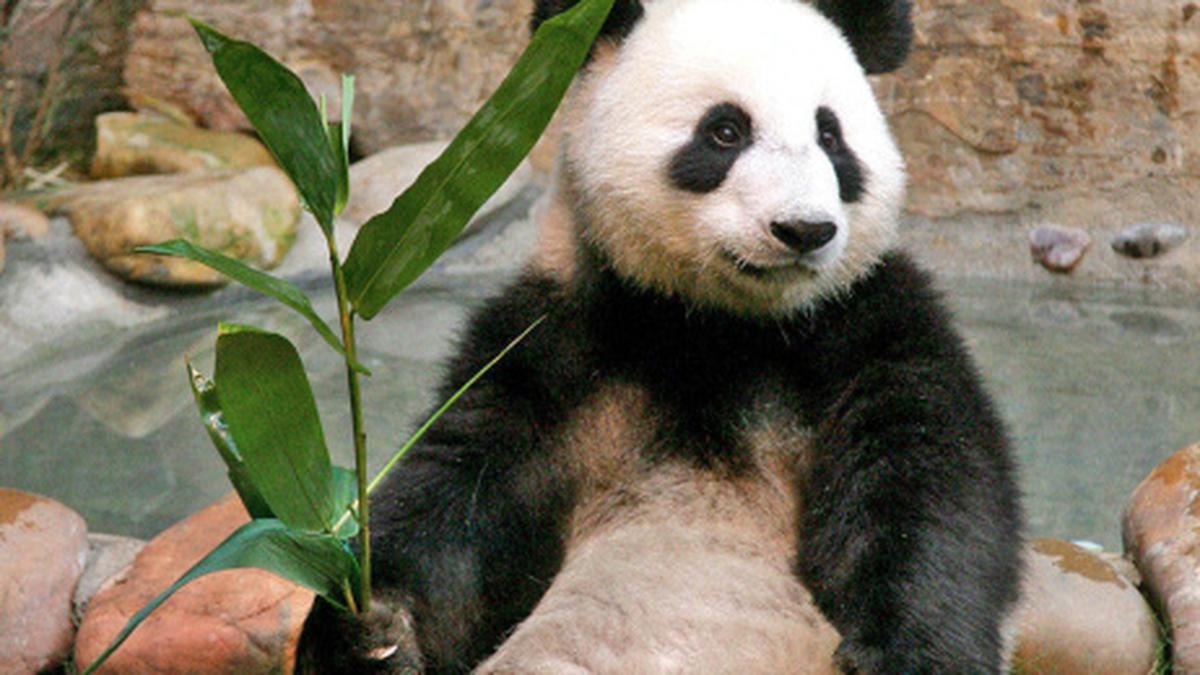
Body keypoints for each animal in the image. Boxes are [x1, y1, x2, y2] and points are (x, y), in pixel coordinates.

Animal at [298, 0, 1024, 672]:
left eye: (831, 135)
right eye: (725, 130)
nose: (804, 229)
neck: (718, 328)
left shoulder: (865, 324)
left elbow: (926, 485)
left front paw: (916, 651)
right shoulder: (555, 344)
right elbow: (456, 501)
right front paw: (371, 633)